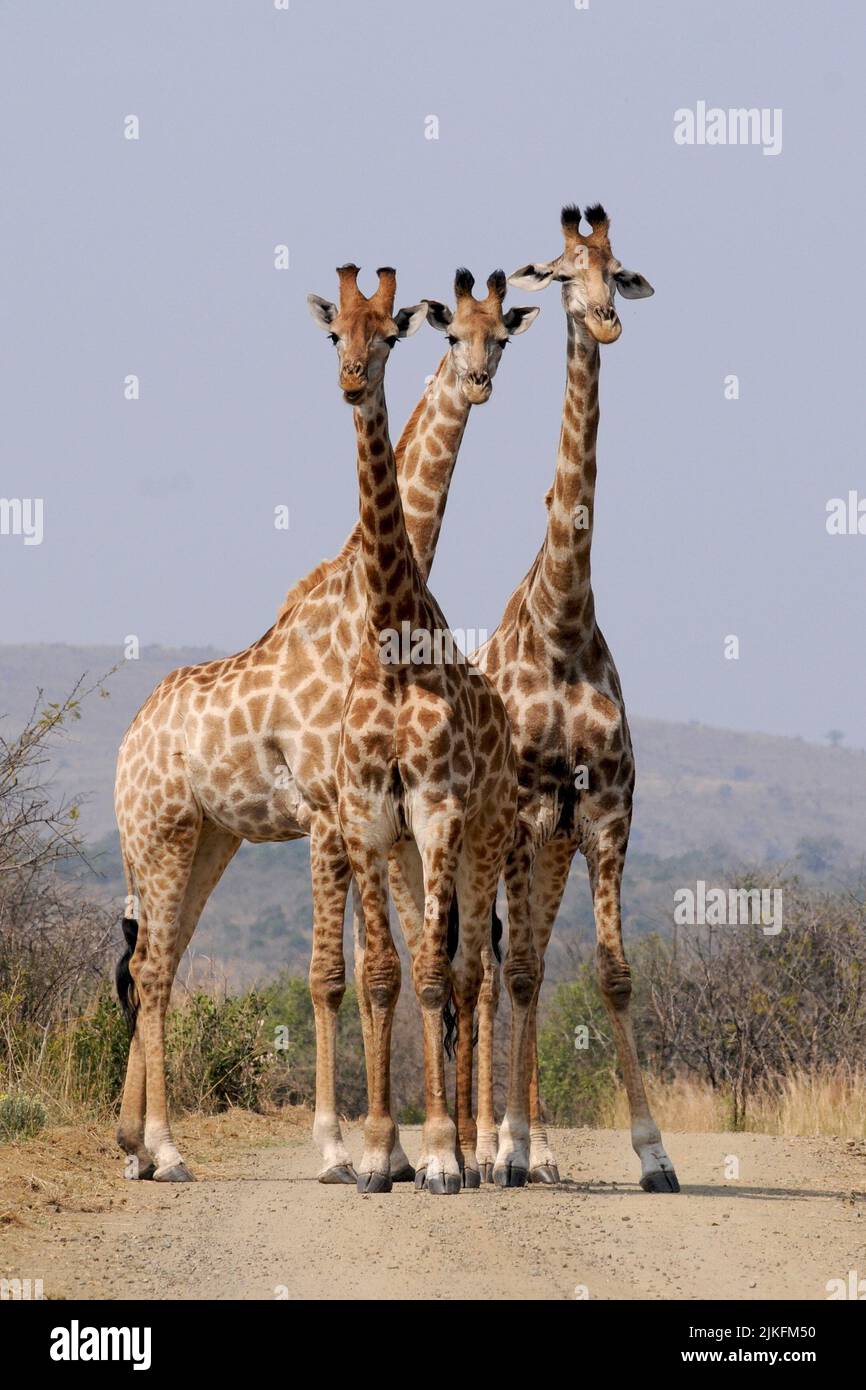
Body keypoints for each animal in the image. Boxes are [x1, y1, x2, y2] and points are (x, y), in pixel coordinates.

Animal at [113, 264, 538, 1185]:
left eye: (501, 337)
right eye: (452, 334)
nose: (478, 383)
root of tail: (126, 743)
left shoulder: (370, 817)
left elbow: (389, 964)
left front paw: (400, 1153)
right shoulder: (326, 810)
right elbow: (330, 976)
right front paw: (344, 1149)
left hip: (208, 838)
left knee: (159, 959)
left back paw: (135, 1143)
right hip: (159, 834)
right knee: (153, 968)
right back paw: (164, 1147)